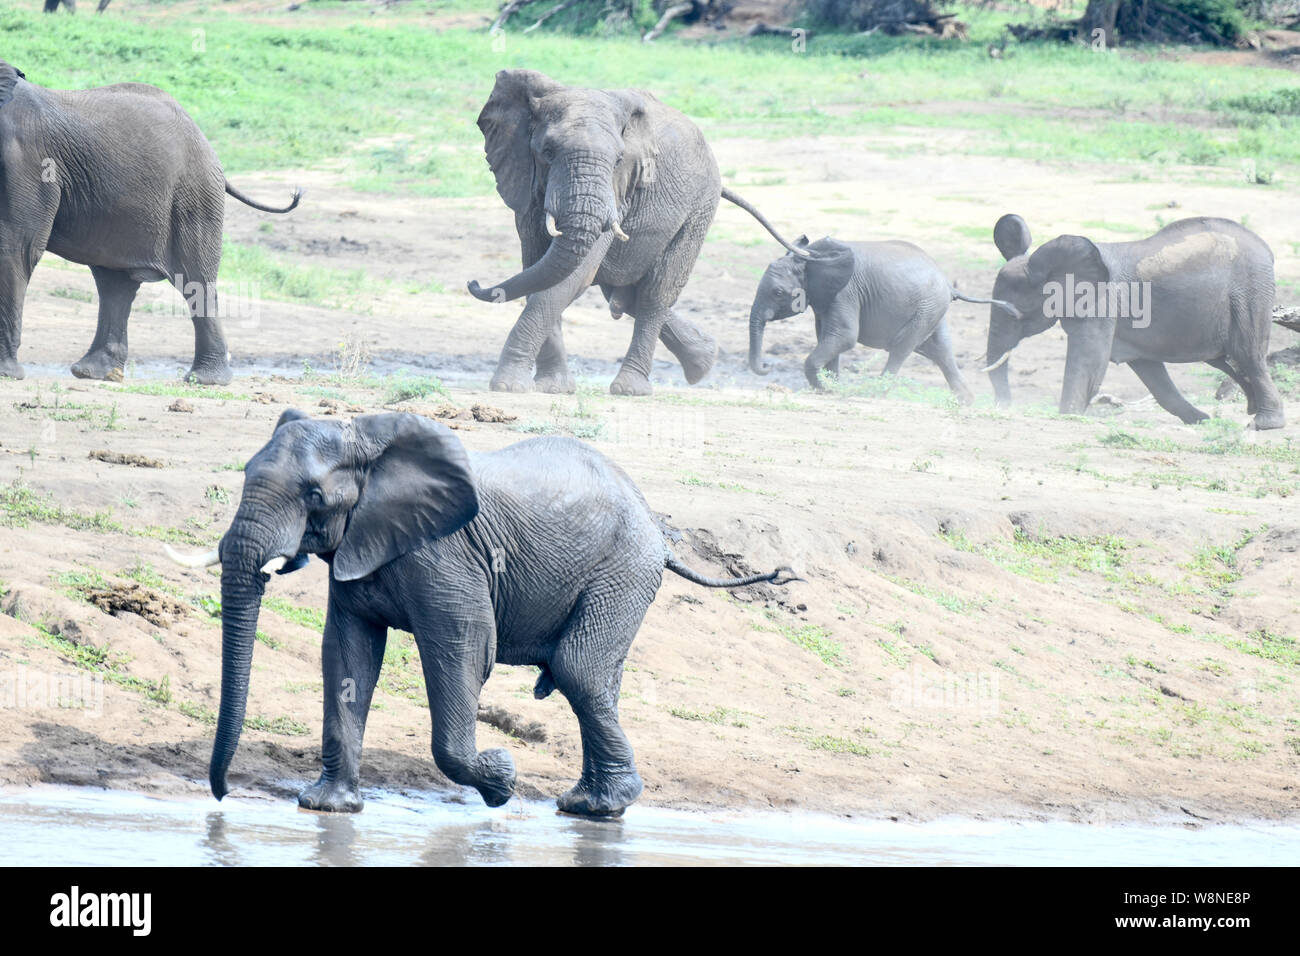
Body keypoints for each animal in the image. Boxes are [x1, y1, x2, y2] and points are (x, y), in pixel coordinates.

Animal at [0, 61, 300, 385]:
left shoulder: (27, 160)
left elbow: (17, 246)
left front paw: (6, 375)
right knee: (114, 282)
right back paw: (95, 372)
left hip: (194, 196)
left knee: (195, 281)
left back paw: (204, 380)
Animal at [164, 411, 798, 817]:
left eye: (314, 496)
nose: (222, 797)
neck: (366, 439)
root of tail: (660, 532)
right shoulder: (360, 547)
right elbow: (347, 654)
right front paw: (326, 808)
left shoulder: (445, 555)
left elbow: (462, 647)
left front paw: (502, 778)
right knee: (595, 680)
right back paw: (589, 808)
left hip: (621, 571)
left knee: (579, 670)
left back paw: (600, 806)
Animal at [466, 69, 813, 397]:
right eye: (548, 151)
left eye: (619, 159)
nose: (474, 283)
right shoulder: (526, 184)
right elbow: (537, 269)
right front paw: (552, 388)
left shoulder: (620, 190)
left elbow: (569, 278)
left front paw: (508, 385)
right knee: (623, 291)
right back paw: (704, 359)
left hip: (699, 208)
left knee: (655, 295)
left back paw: (633, 387)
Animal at [747, 236, 1012, 398]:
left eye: (777, 292)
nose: (767, 366)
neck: (809, 258)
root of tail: (948, 284)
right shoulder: (825, 297)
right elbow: (828, 337)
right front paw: (831, 388)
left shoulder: (846, 293)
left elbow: (844, 337)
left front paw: (826, 388)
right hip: (933, 309)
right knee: (940, 350)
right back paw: (965, 401)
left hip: (926, 309)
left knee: (901, 349)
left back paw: (875, 393)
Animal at [984, 214, 1284, 429]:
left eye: (1017, 313)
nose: (1004, 406)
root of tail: (1266, 249)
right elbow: (1151, 372)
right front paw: (1203, 421)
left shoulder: (1100, 304)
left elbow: (1088, 362)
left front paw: (1066, 418)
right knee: (1227, 360)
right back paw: (1250, 410)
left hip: (1249, 293)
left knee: (1248, 353)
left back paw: (1265, 423)